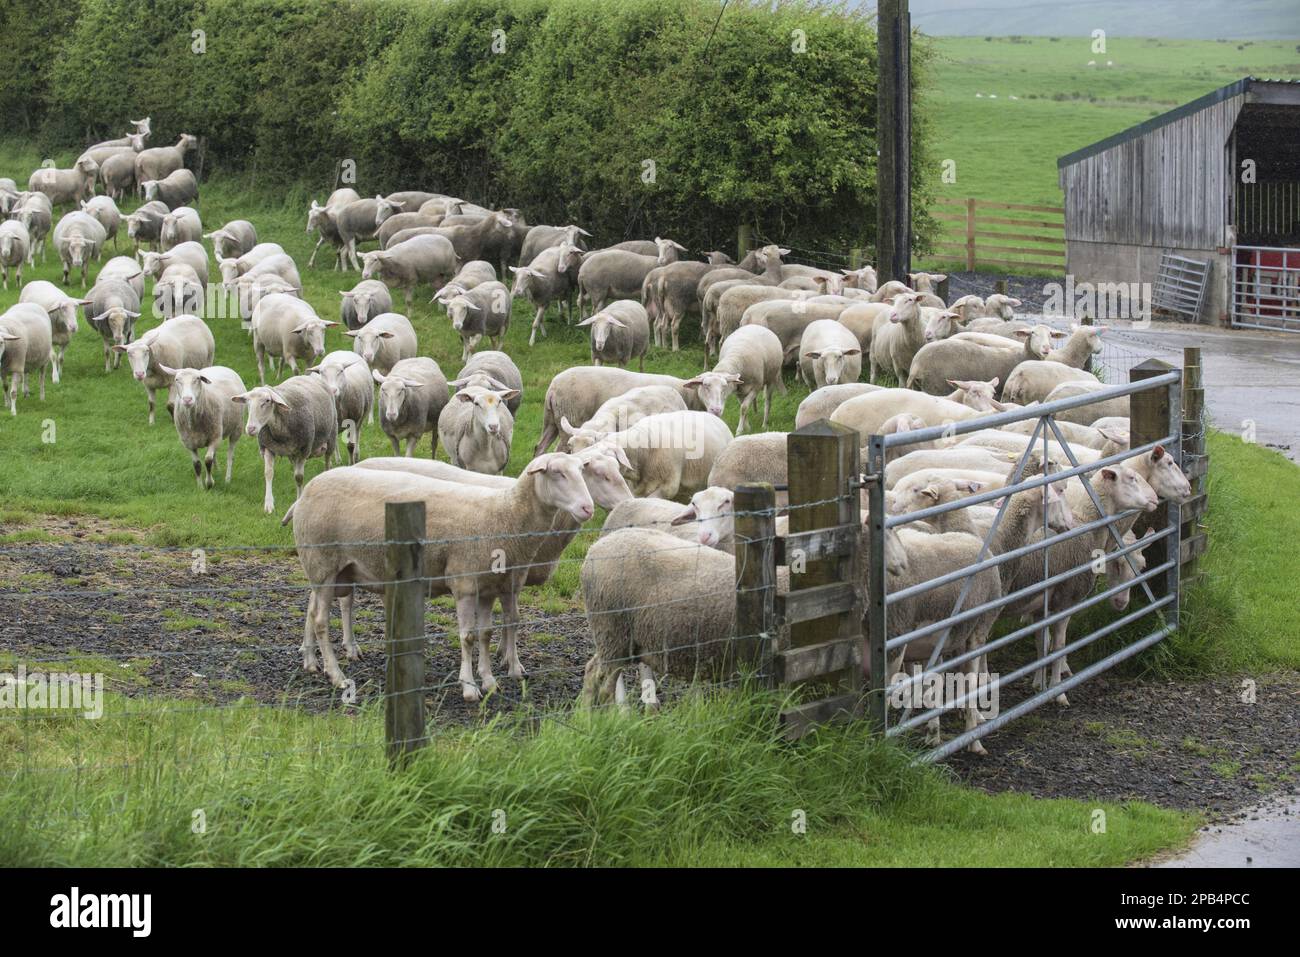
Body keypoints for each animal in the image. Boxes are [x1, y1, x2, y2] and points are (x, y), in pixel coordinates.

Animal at [235, 375, 339, 514]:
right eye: (247, 401)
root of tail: (309, 376)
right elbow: (268, 473)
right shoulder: (267, 447)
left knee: (327, 462)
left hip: (331, 437)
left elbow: (299, 477)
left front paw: (298, 501)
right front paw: (268, 505)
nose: (250, 429)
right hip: (293, 454)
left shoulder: (304, 449)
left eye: (267, 400)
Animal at [289, 453, 593, 693]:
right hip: (322, 563)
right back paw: (336, 675)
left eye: (582, 471)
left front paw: (489, 681)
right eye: (557, 473)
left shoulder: (490, 587)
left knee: (313, 610)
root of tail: (309, 488)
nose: (588, 508)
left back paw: (312, 662)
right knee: (320, 620)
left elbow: (486, 633)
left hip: (335, 570)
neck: (504, 513)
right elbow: (468, 637)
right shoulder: (464, 583)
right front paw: (469, 687)